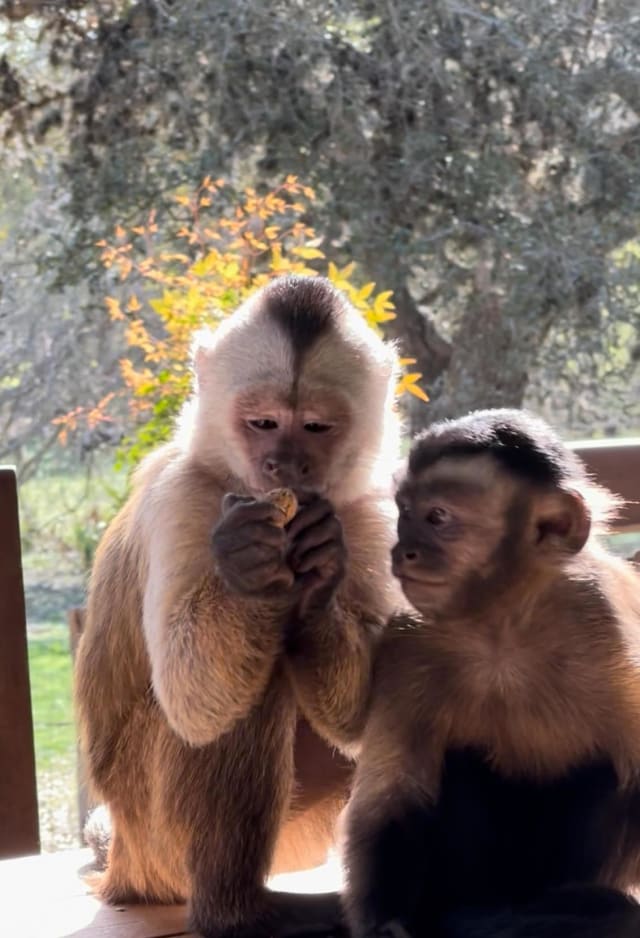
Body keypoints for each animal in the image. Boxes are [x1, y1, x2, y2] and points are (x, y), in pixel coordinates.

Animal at [74, 275, 403, 938]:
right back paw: (236, 910)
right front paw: (252, 571)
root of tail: (121, 854)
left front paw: (319, 571)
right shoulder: (180, 500)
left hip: (296, 843)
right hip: (155, 845)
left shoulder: (371, 511)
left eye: (316, 427)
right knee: (242, 697)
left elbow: (361, 715)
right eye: (263, 422)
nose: (285, 464)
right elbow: (192, 702)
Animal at [339, 409, 640, 938]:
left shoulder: (600, 617)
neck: (502, 622)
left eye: (438, 518)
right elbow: (390, 801)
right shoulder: (410, 640)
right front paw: (386, 925)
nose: (402, 551)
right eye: (404, 512)